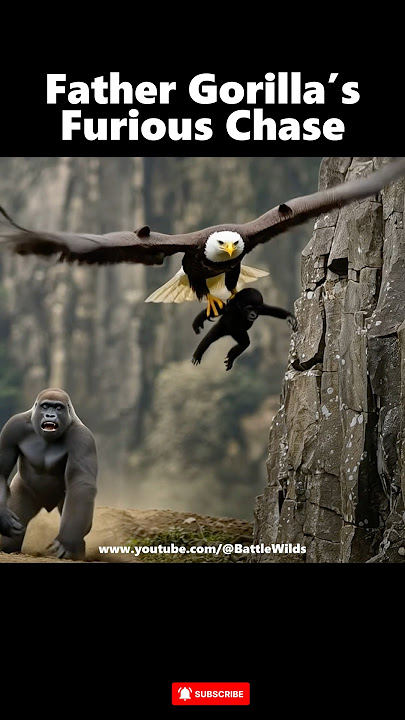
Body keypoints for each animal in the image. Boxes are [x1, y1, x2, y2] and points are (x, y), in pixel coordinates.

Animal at [0, 388, 97, 560]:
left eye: (58, 408)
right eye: (45, 406)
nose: (50, 416)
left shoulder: (83, 438)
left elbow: (81, 484)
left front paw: (68, 542)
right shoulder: (13, 426)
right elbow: (1, 470)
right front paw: (3, 520)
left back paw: (75, 550)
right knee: (10, 540)